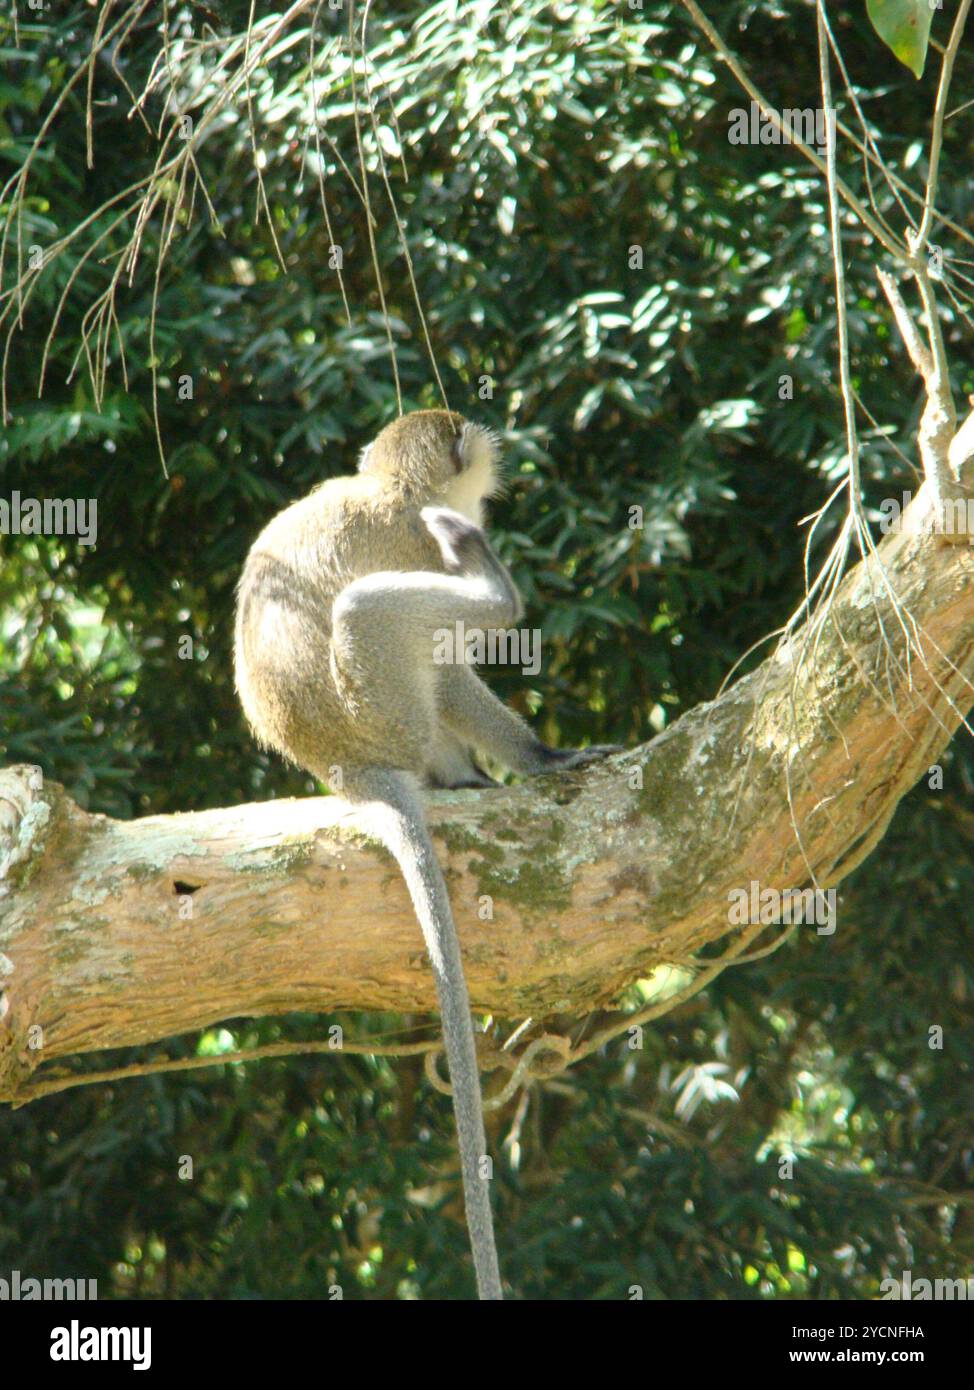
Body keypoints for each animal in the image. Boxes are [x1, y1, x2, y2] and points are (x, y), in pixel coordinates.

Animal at [233, 408, 616, 1300]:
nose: (492, 432)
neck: (394, 489)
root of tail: (346, 767)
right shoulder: (413, 543)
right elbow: (449, 671)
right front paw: (540, 756)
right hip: (383, 706)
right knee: (376, 618)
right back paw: (491, 597)